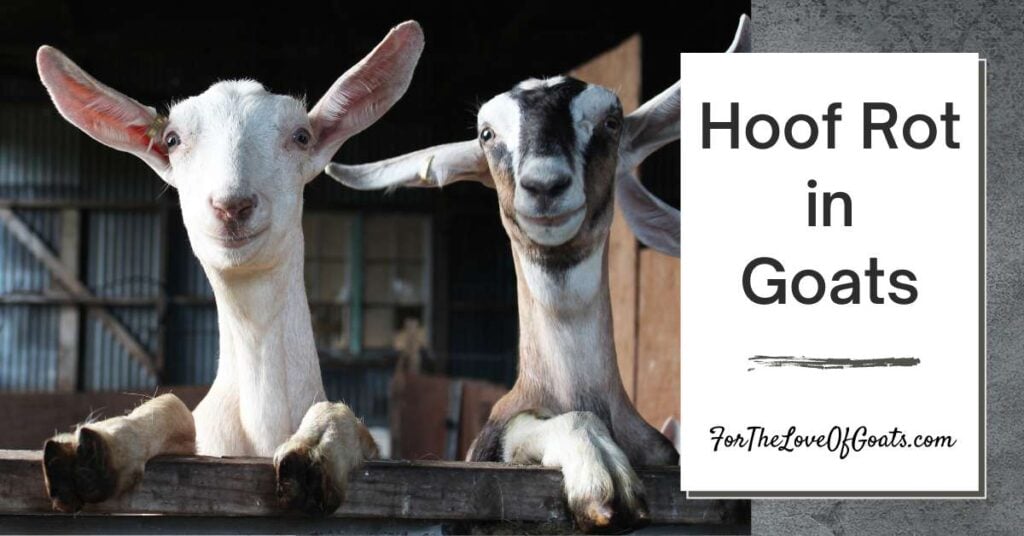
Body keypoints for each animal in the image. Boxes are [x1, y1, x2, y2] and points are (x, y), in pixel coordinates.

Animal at [35, 21, 424, 515]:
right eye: (172, 140)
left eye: (301, 136)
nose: (231, 205)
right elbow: (173, 408)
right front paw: (97, 448)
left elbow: (349, 421)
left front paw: (315, 453)